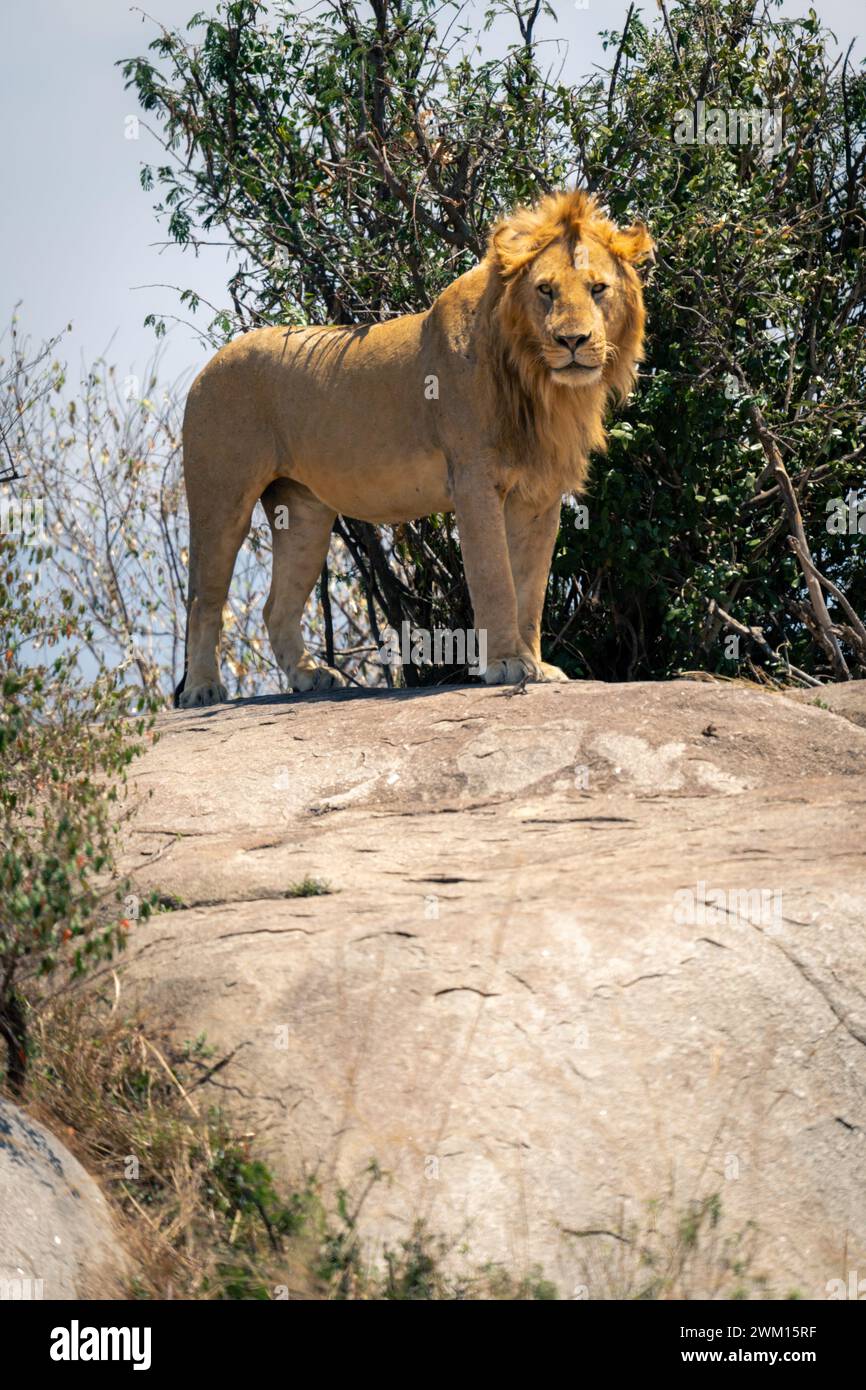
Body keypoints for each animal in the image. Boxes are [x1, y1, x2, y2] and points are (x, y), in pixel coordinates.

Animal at [176, 189, 653, 707]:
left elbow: (531, 589)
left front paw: (536, 667)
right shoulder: (474, 481)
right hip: (222, 498)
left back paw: (309, 675)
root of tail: (209, 363)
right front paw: (506, 663)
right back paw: (202, 690)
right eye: (545, 290)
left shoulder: (538, 495)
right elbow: (495, 578)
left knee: (275, 606)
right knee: (203, 599)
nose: (572, 340)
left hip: (303, 513)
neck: (539, 383)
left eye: (598, 288)